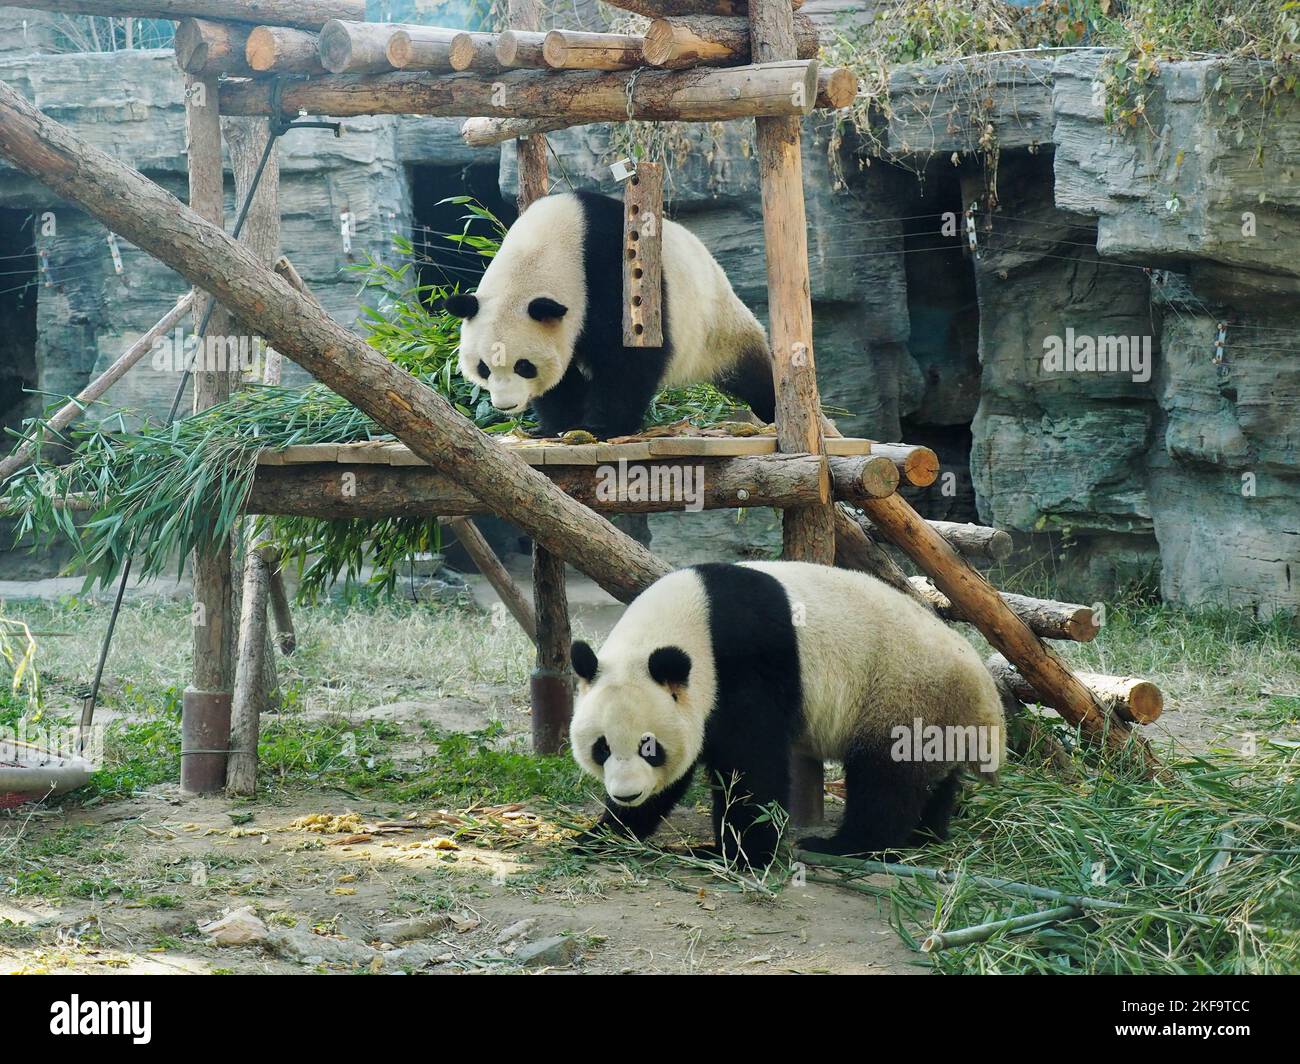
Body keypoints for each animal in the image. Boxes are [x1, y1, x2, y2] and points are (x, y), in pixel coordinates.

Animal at [441, 191, 775, 439]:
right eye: (483, 367)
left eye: (524, 366)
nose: (506, 405)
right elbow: (564, 377)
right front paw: (558, 425)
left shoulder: (613, 274)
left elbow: (626, 360)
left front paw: (601, 427)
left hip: (715, 326)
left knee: (752, 369)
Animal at [568, 561, 1007, 867]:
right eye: (602, 748)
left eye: (650, 748)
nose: (626, 794)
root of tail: (987, 702)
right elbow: (676, 778)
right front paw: (599, 836)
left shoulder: (741, 665)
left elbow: (752, 765)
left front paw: (736, 854)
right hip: (937, 715)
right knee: (933, 780)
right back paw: (925, 834)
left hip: (904, 696)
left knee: (885, 782)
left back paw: (845, 845)